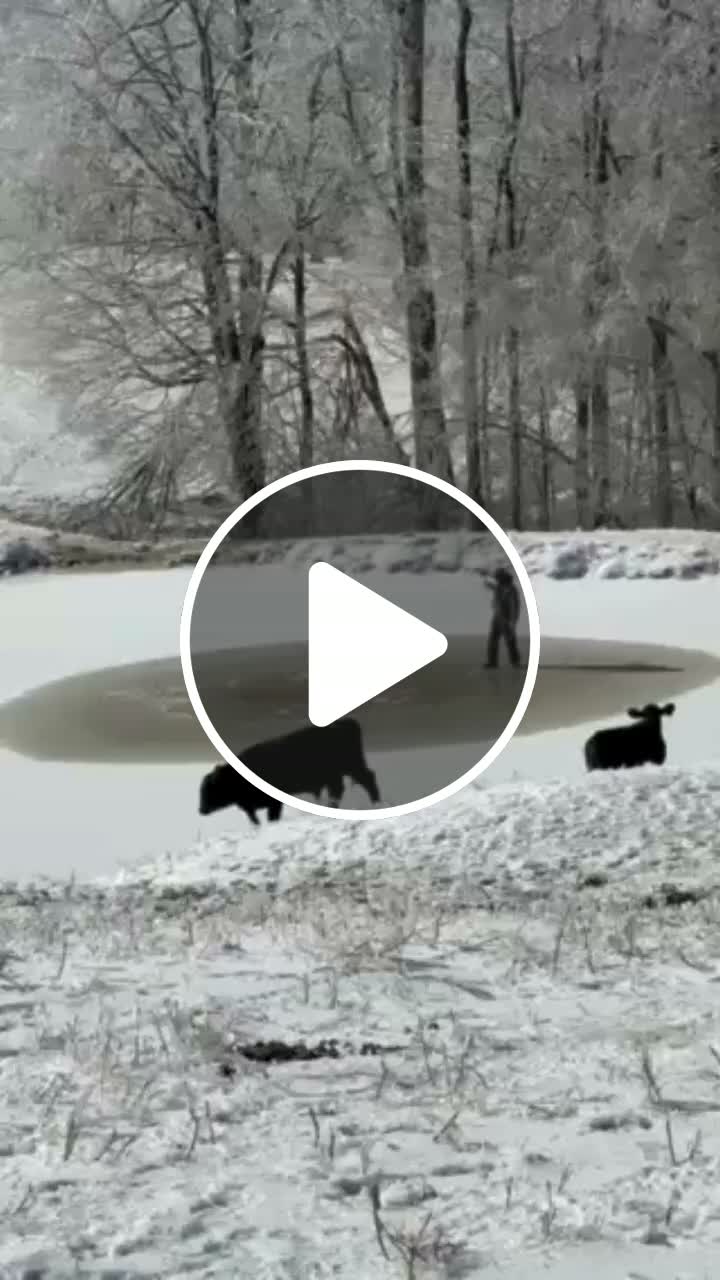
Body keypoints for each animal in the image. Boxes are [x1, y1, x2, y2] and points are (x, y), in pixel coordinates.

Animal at [198, 717, 381, 826]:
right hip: (341, 773)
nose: (201, 810)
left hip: (351, 766)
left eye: (210, 789)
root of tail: (344, 722)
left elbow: (272, 817)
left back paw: (375, 804)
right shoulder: (252, 808)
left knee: (366, 779)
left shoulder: (274, 803)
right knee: (342, 788)